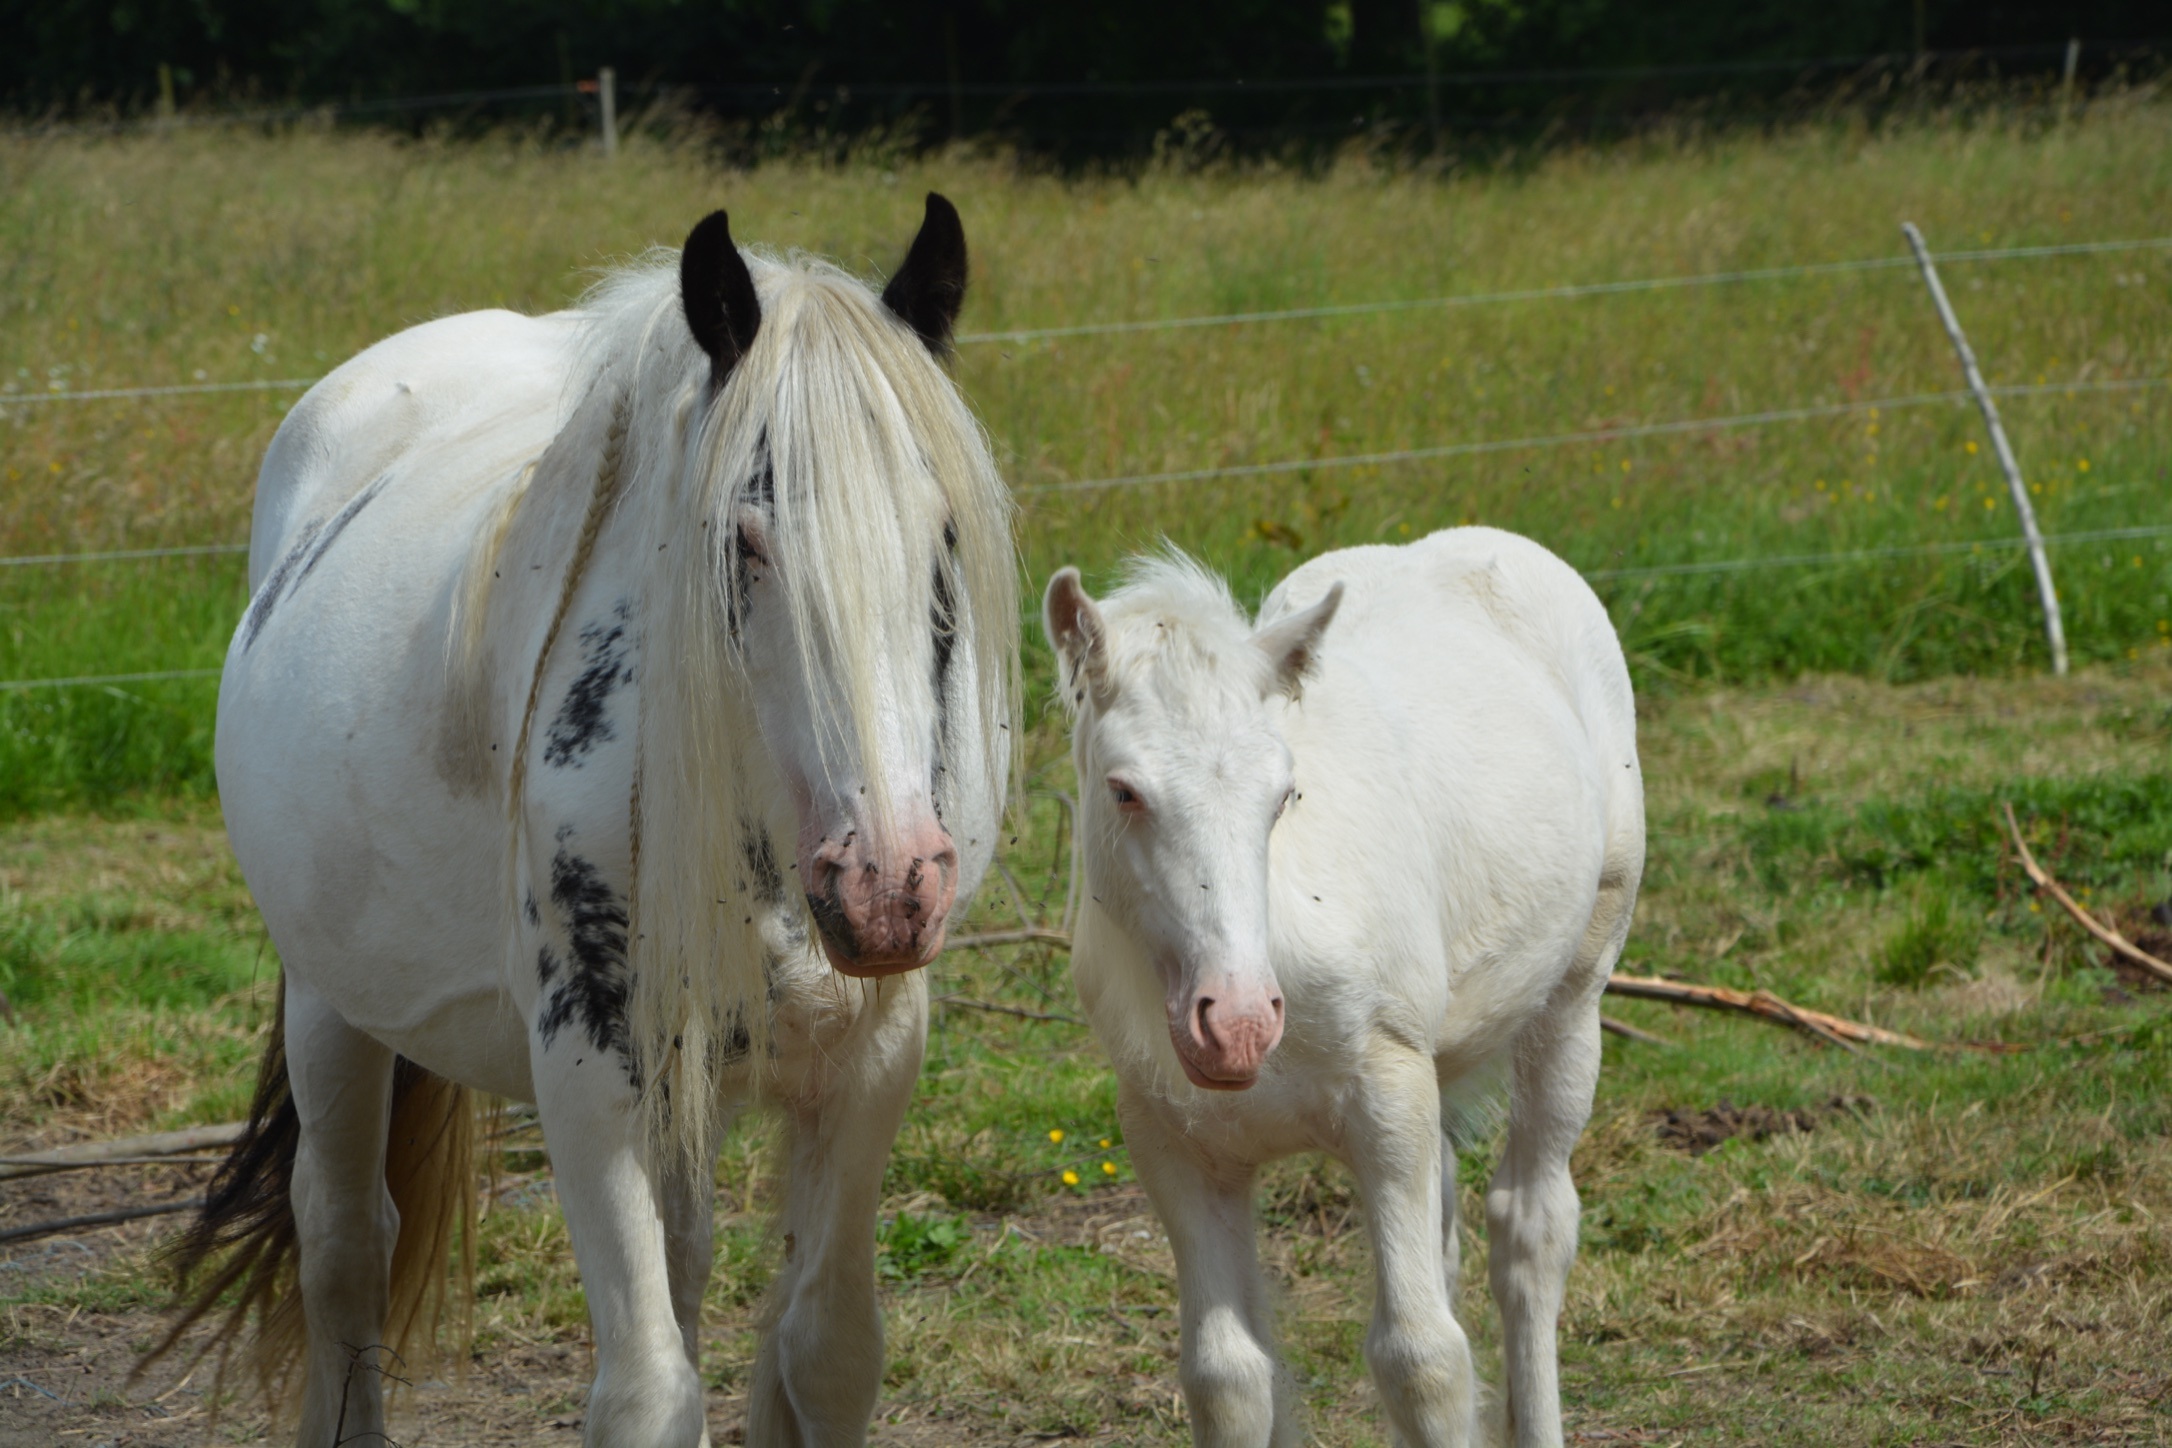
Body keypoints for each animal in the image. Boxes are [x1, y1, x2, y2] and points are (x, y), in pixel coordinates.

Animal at [149, 195, 1017, 1448]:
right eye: (742, 541)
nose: (887, 885)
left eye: (943, 533)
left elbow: (826, 1350)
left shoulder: (869, 1055)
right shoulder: (586, 1059)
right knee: (346, 1242)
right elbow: (649, 1388)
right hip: (331, 1002)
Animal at [1041, 532, 1644, 1448]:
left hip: (1575, 991)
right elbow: (1227, 1374)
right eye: (1123, 790)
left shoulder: (1387, 1098)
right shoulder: (1170, 1139)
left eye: (1283, 792)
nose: (1238, 1023)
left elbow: (1424, 1358)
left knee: (1531, 1232)